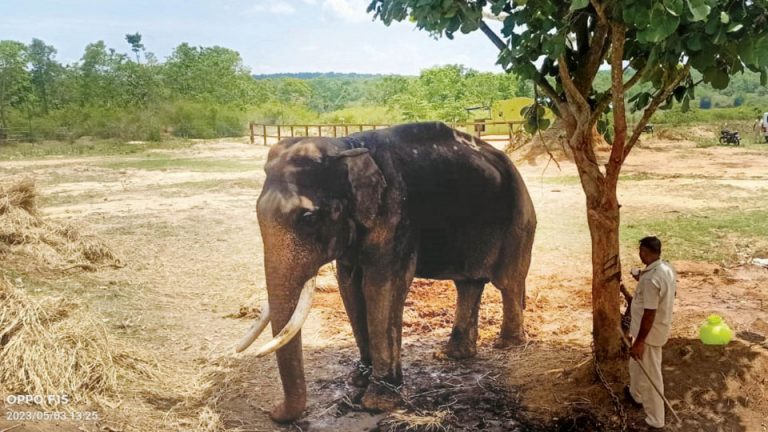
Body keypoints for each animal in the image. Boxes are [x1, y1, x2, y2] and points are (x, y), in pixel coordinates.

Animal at [236, 122, 537, 423]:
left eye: (308, 218)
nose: (272, 411)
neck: (347, 146)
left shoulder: (396, 214)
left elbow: (381, 286)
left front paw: (377, 402)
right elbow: (349, 286)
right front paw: (358, 379)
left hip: (519, 219)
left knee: (507, 282)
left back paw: (506, 344)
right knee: (468, 283)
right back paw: (451, 355)